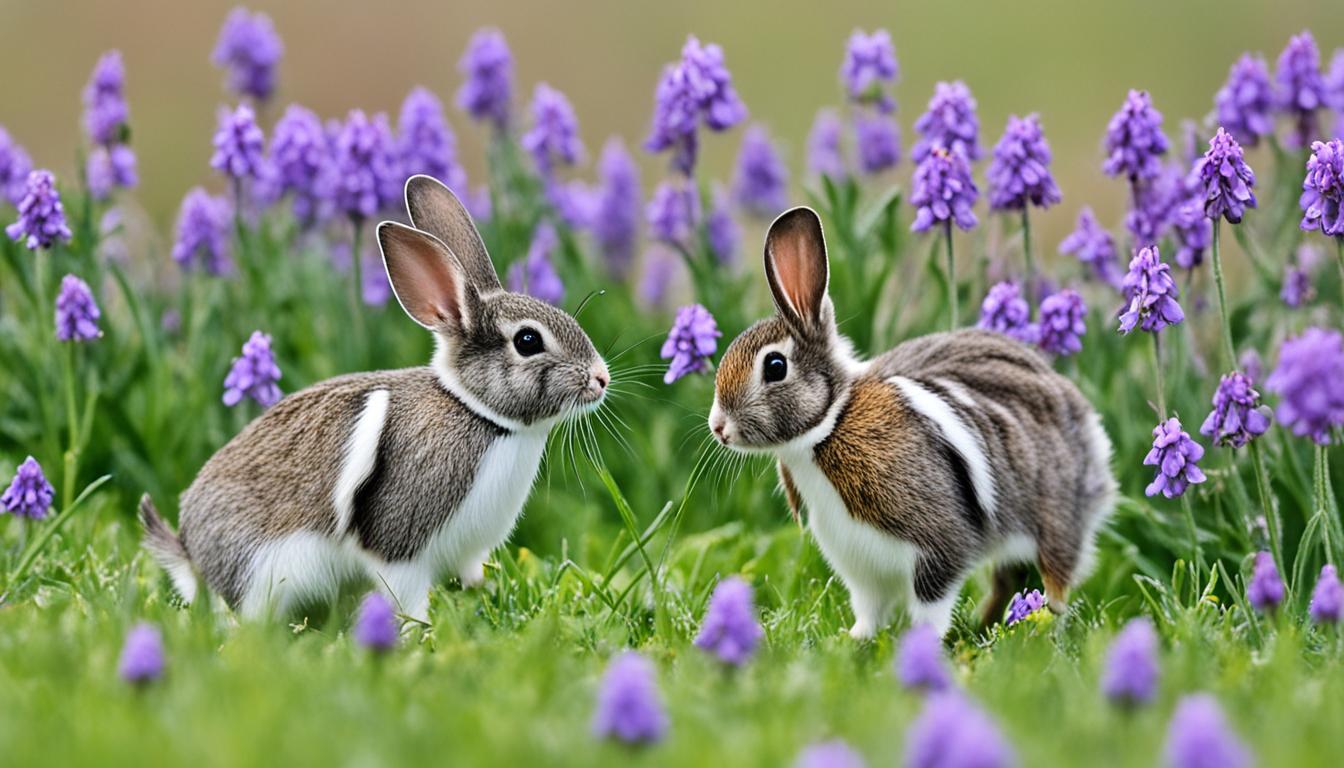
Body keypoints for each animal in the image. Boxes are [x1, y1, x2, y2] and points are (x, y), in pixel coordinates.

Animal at [139, 175, 610, 623]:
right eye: (528, 341)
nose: (601, 378)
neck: (477, 412)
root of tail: (191, 557)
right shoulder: (399, 546)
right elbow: (406, 592)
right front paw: (416, 634)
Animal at [708, 207, 1116, 639]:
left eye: (775, 366)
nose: (719, 427)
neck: (830, 423)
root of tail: (1084, 423)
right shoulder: (861, 567)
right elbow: (869, 608)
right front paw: (856, 639)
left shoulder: (938, 545)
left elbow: (931, 604)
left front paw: (922, 643)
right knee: (1008, 579)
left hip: (1053, 520)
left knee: (1056, 581)